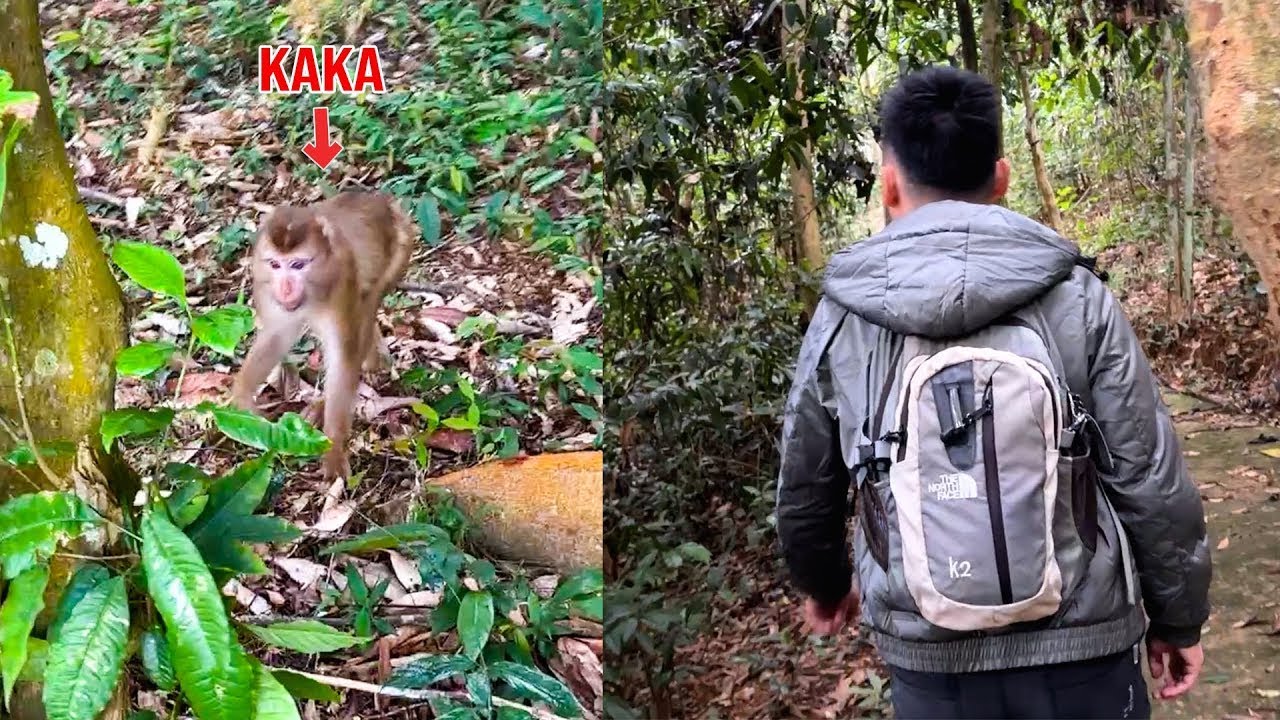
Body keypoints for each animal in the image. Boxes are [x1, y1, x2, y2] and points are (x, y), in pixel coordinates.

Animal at [230, 191, 415, 480]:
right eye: (275, 264)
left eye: (298, 264)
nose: (285, 289)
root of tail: (382, 200)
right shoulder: (265, 287)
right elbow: (276, 336)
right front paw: (242, 401)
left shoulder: (343, 279)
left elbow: (343, 357)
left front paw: (334, 449)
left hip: (399, 247)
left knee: (367, 306)